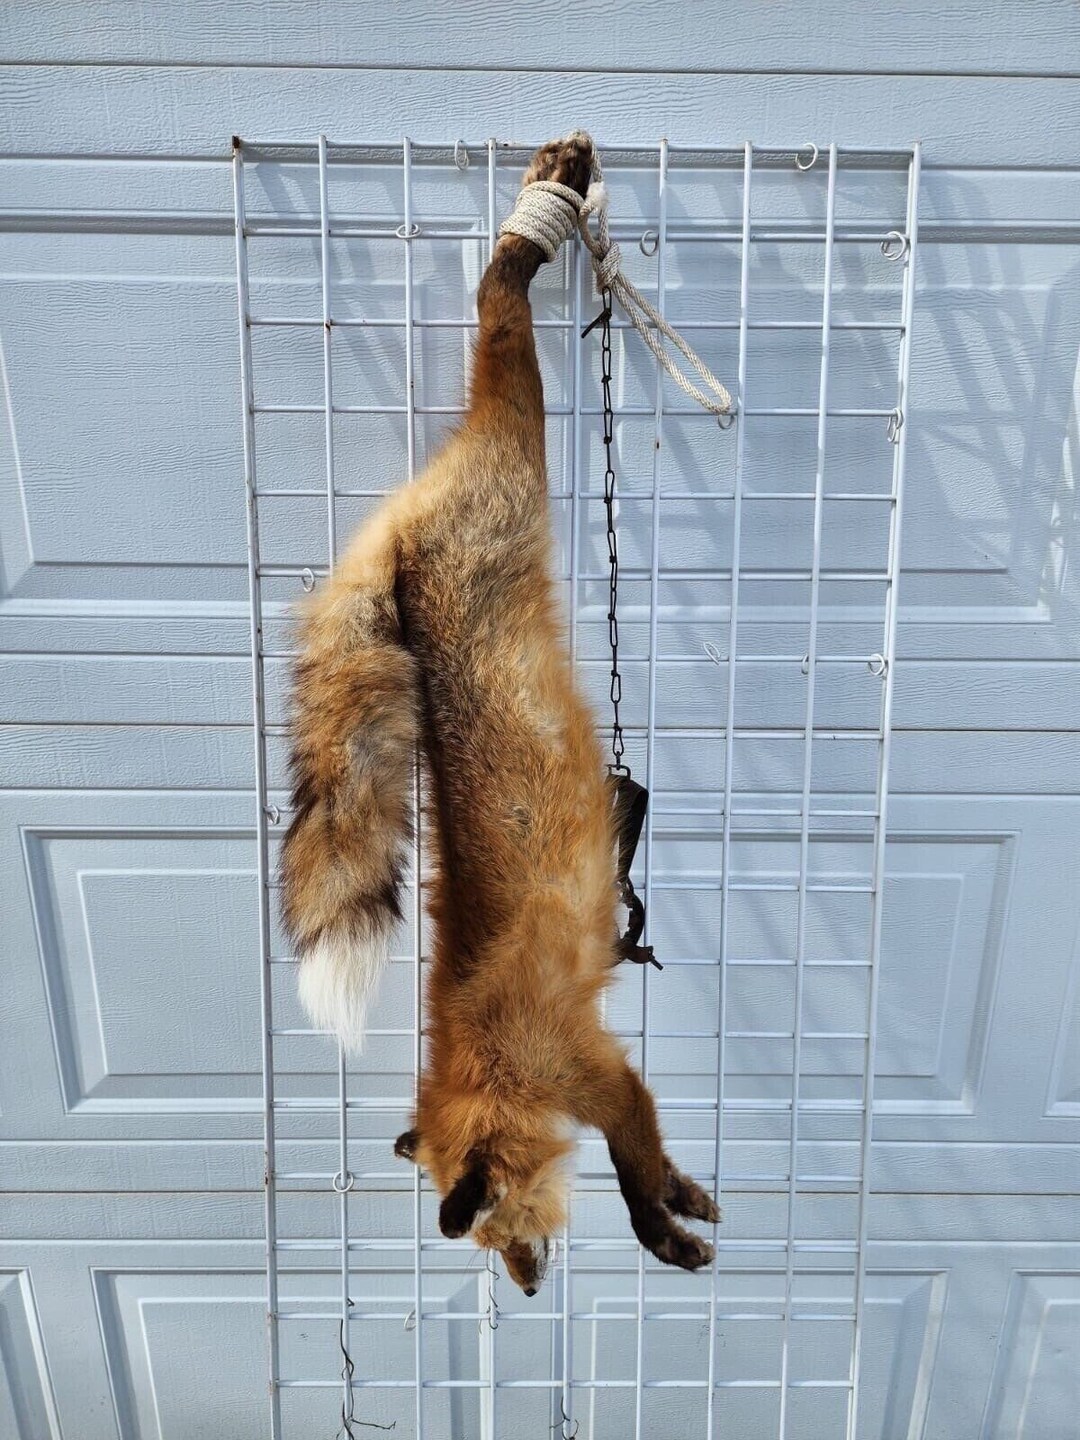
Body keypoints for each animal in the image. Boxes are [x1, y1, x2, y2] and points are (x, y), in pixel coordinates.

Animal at [281, 132, 719, 1295]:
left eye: (493, 1227)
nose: (524, 1287)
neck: (494, 1051)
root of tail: (398, 544)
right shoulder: (606, 1075)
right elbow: (645, 1164)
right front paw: (680, 1209)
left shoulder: (600, 1071)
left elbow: (635, 1172)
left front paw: (666, 1229)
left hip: (522, 436)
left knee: (498, 313)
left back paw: (538, 218)